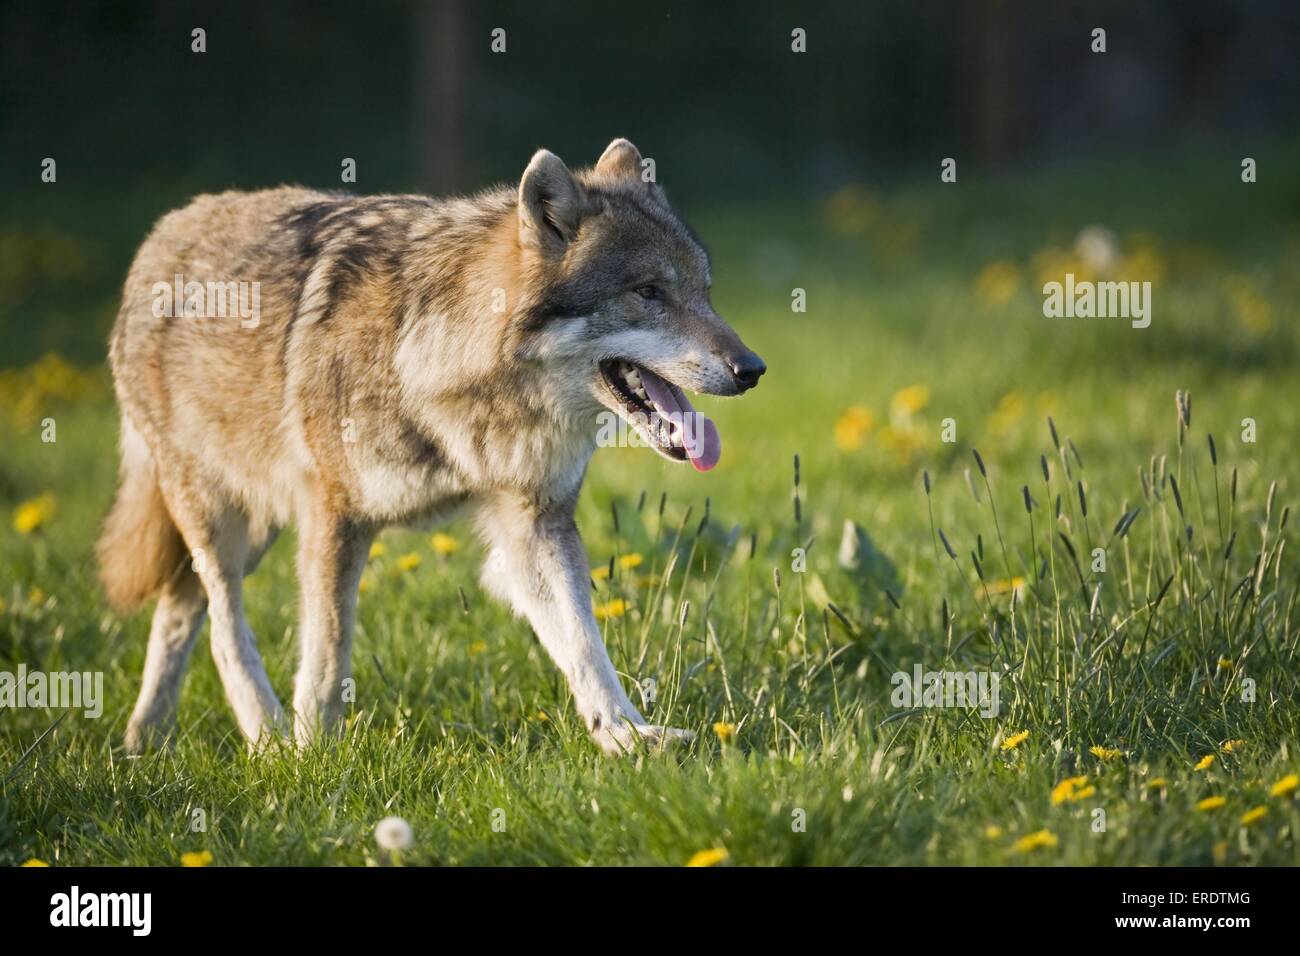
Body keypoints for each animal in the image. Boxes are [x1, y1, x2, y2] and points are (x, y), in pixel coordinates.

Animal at [97, 139, 765, 755]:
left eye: (705, 293)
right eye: (648, 292)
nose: (752, 369)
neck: (435, 365)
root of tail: (163, 231)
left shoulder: (534, 521)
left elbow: (583, 642)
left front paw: (625, 737)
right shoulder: (334, 516)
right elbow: (327, 658)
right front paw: (315, 759)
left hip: (254, 523)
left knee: (180, 610)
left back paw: (143, 740)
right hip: (224, 521)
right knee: (222, 627)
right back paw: (265, 739)